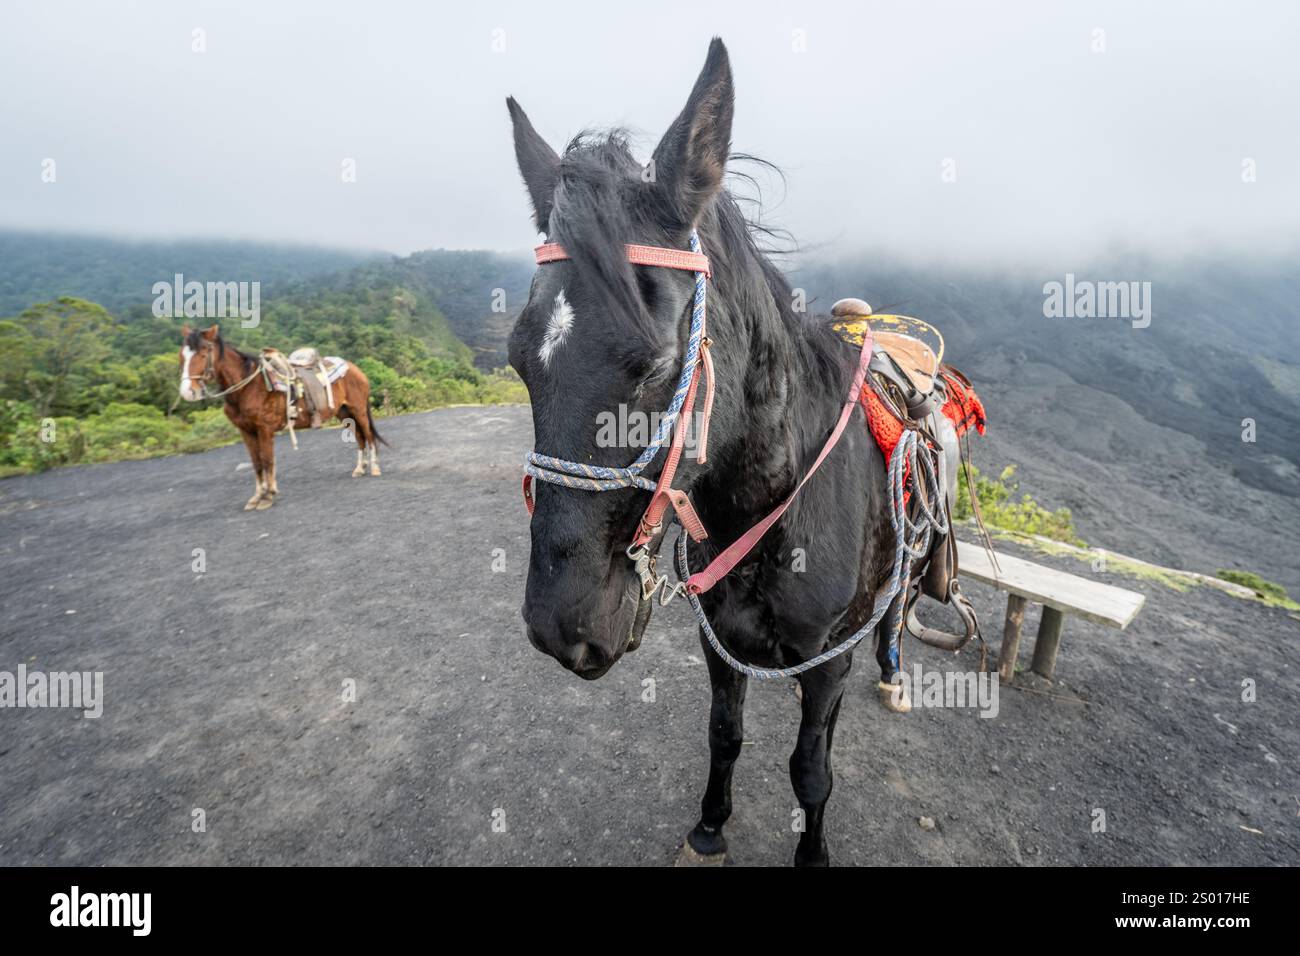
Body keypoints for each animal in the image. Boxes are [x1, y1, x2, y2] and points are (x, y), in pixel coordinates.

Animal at [177, 324, 385, 510]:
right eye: (182, 356)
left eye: (203, 353)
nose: (188, 392)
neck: (249, 388)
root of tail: (355, 368)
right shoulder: (246, 431)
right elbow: (256, 463)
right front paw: (257, 497)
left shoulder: (264, 429)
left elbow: (267, 461)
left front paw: (268, 496)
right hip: (344, 413)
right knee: (360, 438)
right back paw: (360, 469)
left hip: (358, 410)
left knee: (369, 436)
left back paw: (374, 468)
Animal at [506, 38, 964, 867]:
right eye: (518, 360)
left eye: (657, 365)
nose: (561, 628)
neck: (777, 504)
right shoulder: (718, 641)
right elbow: (725, 734)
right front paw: (710, 826)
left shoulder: (827, 663)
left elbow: (811, 769)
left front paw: (812, 852)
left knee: (893, 618)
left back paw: (890, 674)